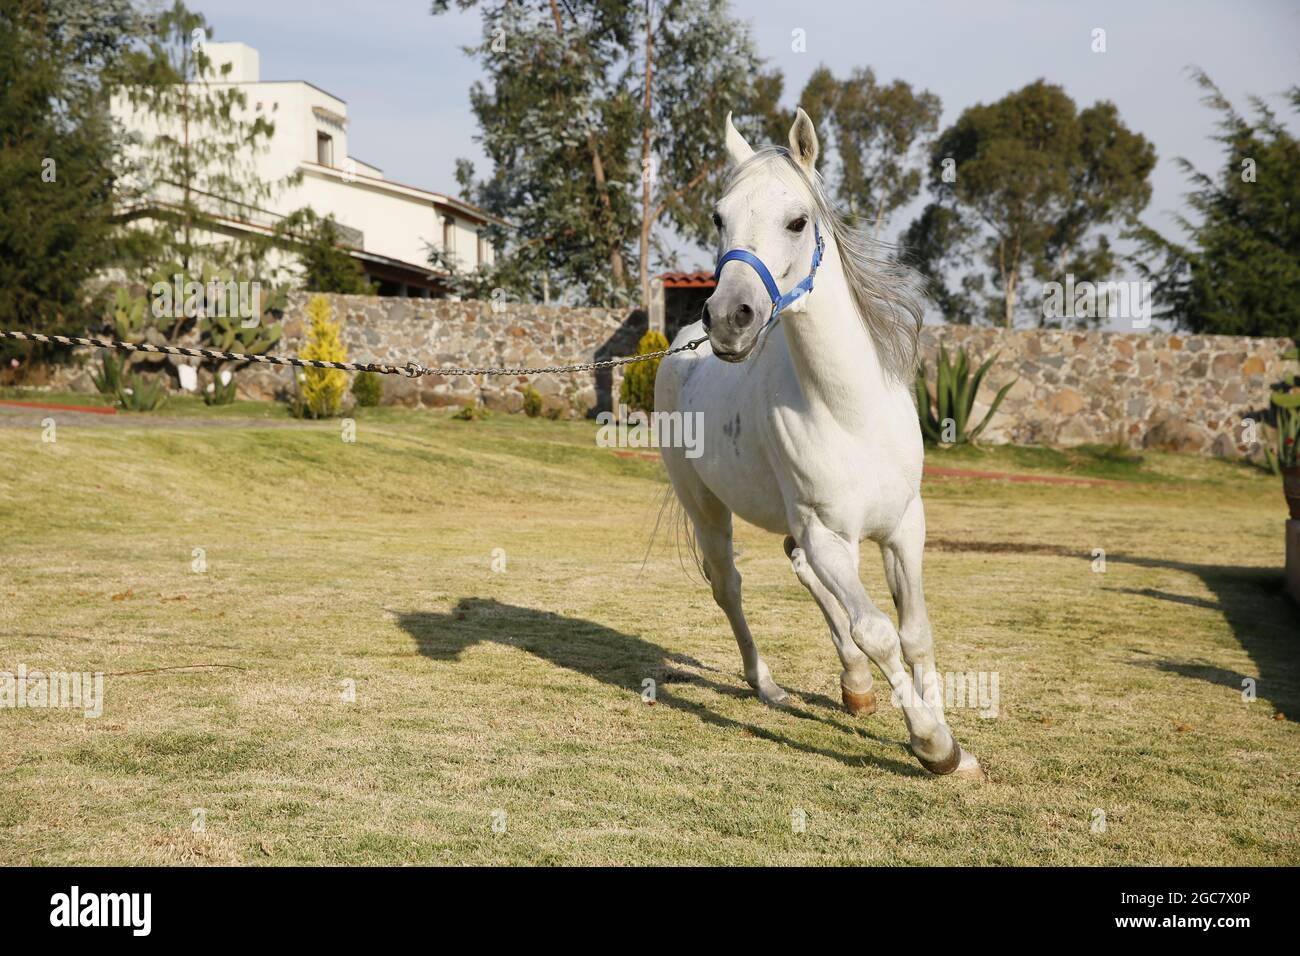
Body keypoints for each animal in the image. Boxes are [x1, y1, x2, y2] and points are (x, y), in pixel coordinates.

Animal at [655, 108, 983, 779]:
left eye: (797, 220)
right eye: (719, 217)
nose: (730, 318)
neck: (849, 411)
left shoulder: (903, 527)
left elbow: (914, 632)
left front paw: (950, 743)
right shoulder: (829, 533)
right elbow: (877, 631)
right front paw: (934, 744)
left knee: (800, 568)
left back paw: (854, 686)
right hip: (707, 508)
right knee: (730, 586)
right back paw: (769, 686)